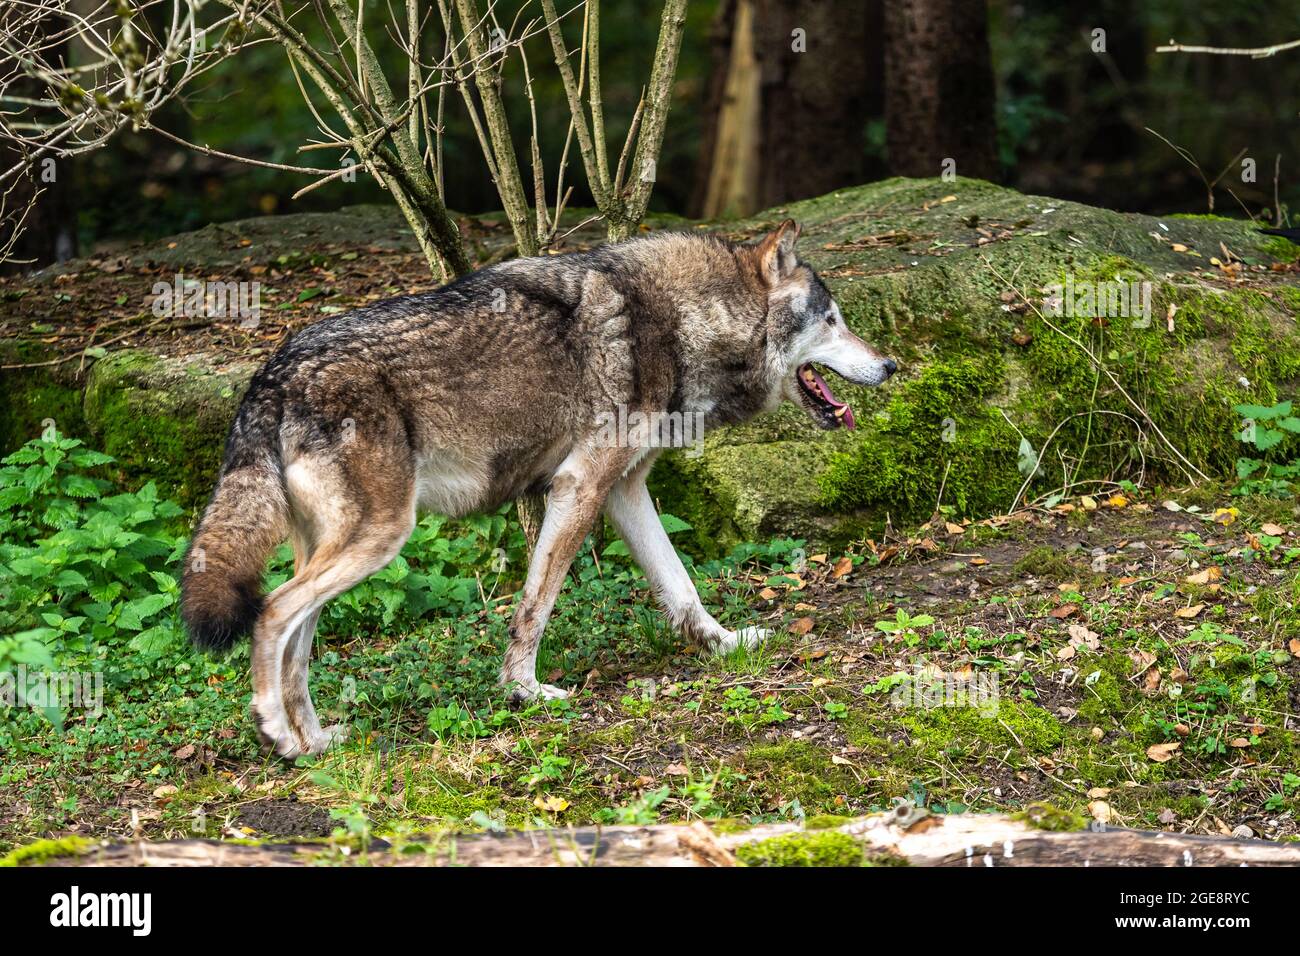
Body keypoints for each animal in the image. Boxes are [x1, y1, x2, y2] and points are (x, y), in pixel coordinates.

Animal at [181, 220, 897, 757]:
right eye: (833, 320)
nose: (890, 365)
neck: (684, 320)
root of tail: (273, 373)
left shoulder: (623, 489)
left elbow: (680, 586)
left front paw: (724, 645)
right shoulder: (579, 485)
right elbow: (536, 603)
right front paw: (524, 692)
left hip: (343, 548)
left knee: (296, 638)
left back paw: (313, 743)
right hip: (380, 539)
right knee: (273, 612)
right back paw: (279, 734)